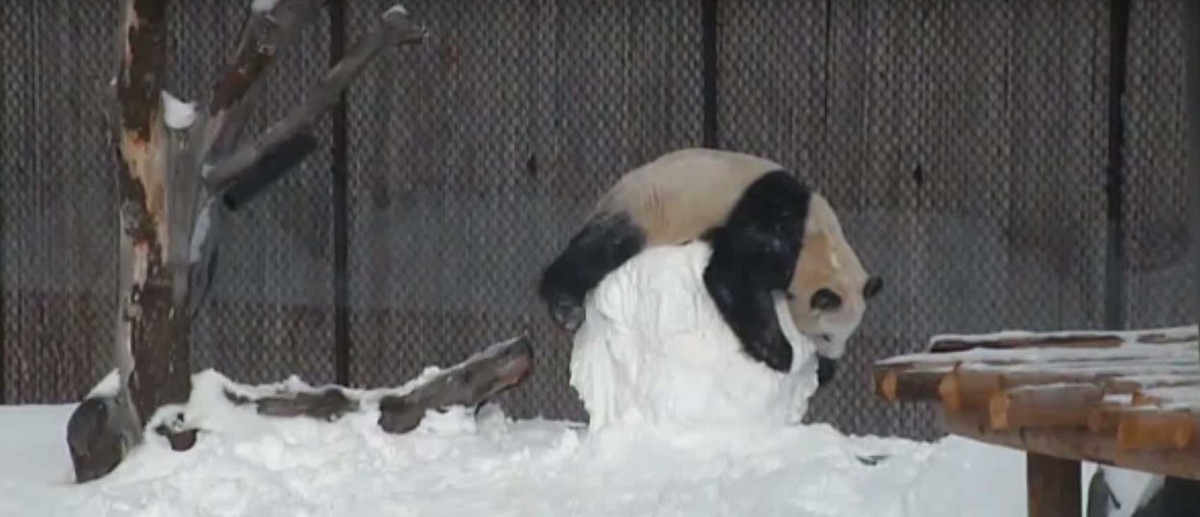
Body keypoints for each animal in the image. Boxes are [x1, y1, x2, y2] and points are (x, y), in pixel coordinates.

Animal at [537, 147, 882, 386]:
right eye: (825, 336)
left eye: (846, 336)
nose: (829, 367)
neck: (816, 240)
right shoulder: (771, 221)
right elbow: (731, 276)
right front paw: (780, 355)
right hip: (644, 208)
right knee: (602, 249)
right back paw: (565, 304)